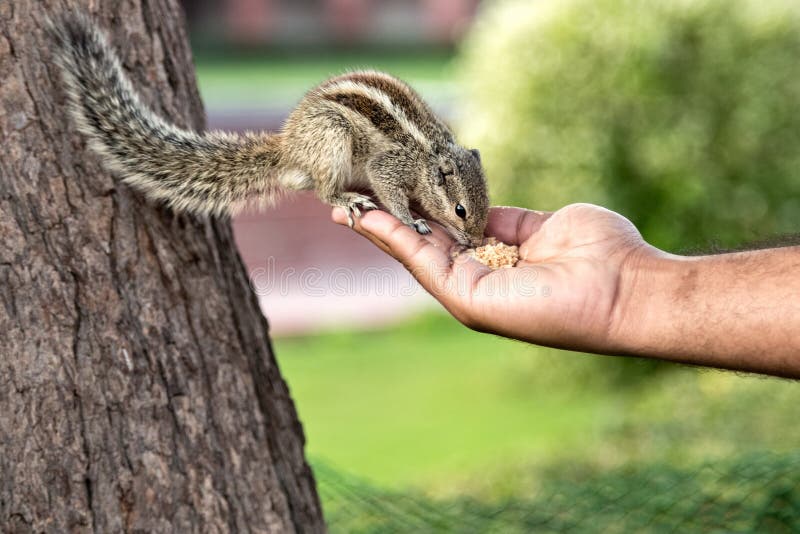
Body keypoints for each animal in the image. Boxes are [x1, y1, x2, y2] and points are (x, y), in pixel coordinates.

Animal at [48, 13, 489, 246]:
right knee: (322, 189)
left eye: (486, 203)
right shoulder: (392, 165)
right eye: (460, 209)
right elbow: (391, 190)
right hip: (331, 138)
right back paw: (345, 198)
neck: (431, 154)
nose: (476, 241)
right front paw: (412, 219)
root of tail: (288, 147)